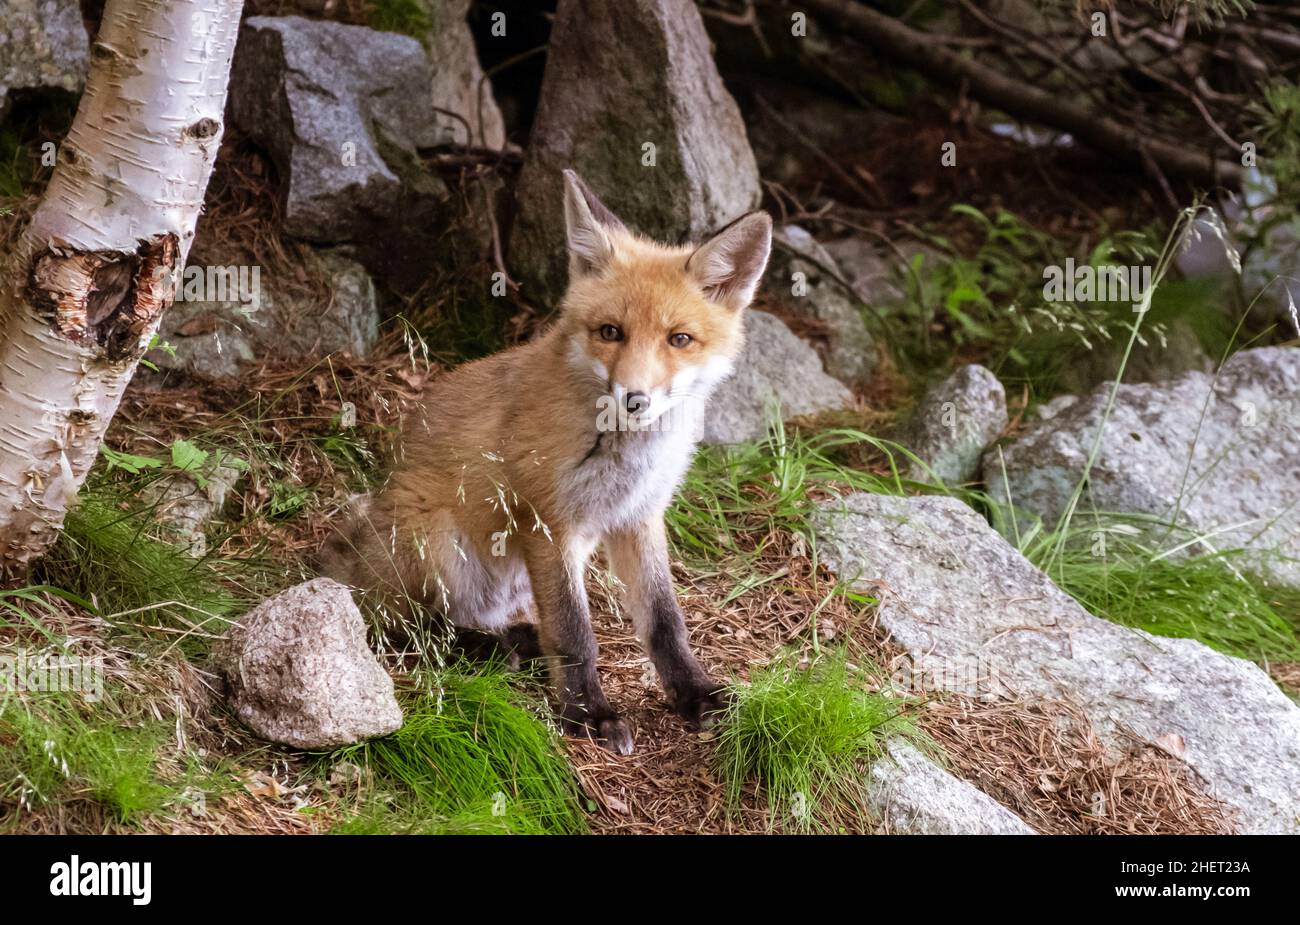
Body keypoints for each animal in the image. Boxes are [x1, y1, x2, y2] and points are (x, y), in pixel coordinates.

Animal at [321, 169, 772, 754]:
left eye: (680, 339)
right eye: (610, 332)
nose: (634, 399)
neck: (626, 456)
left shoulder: (639, 517)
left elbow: (665, 622)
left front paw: (694, 692)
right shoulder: (548, 522)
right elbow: (575, 632)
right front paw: (588, 713)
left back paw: (516, 640)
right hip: (437, 538)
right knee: (407, 626)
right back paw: (486, 649)